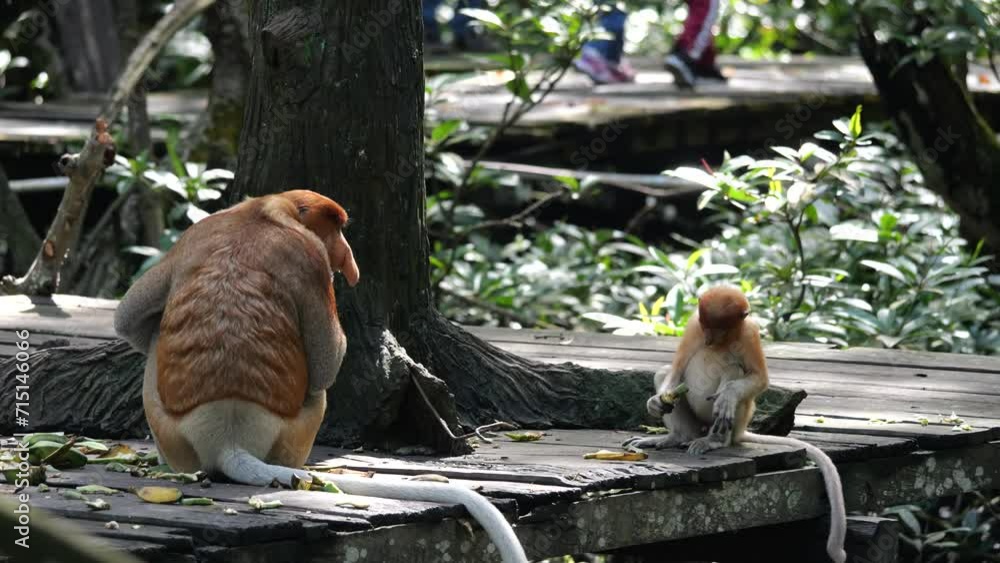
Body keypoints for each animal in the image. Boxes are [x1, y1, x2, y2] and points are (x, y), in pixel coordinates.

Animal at [114, 190, 528, 563]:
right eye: (337, 229)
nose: (347, 254)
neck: (265, 213)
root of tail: (229, 438)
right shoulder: (309, 257)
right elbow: (328, 360)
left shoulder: (196, 234)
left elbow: (128, 317)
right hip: (264, 431)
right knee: (317, 391)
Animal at [623, 286, 847, 563]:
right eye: (705, 324)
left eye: (721, 329)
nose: (709, 340)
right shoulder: (692, 327)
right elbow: (675, 369)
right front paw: (655, 403)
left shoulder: (750, 333)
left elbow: (758, 378)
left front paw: (727, 397)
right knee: (665, 373)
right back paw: (675, 437)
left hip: (740, 416)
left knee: (733, 371)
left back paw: (715, 439)